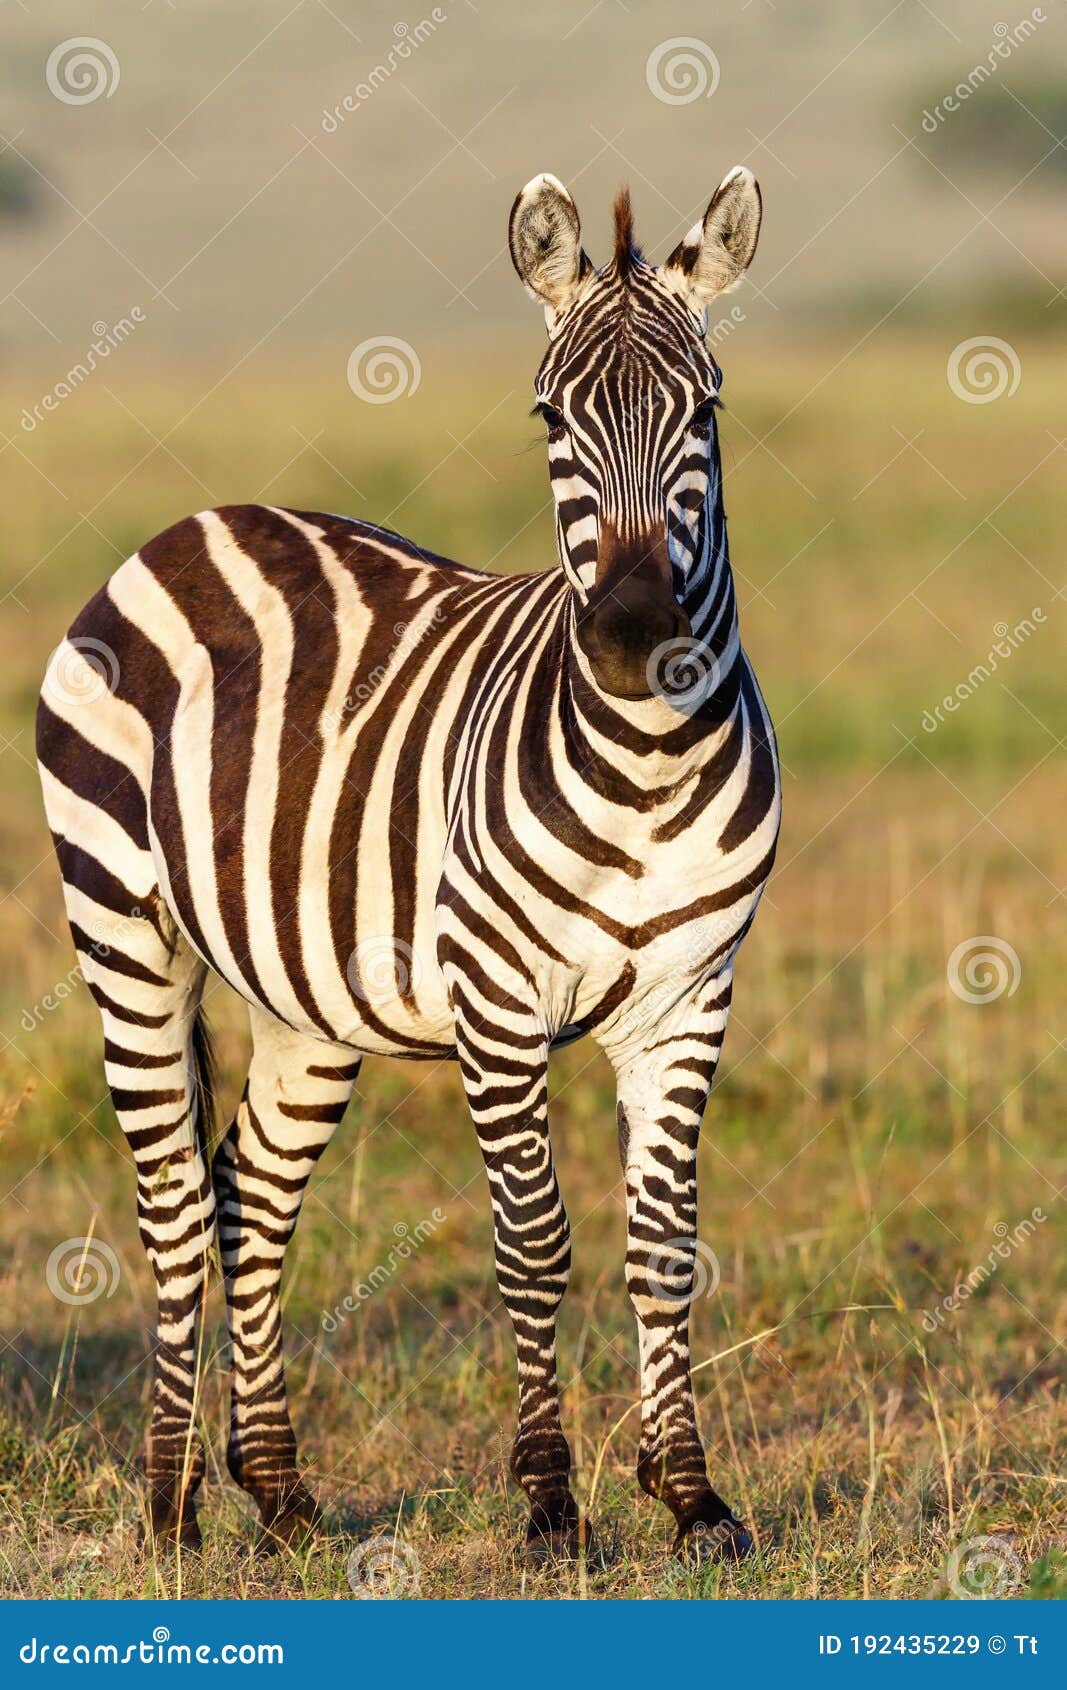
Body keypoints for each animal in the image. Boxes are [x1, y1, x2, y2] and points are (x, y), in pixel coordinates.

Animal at [36, 165, 780, 1565]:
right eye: (549, 416)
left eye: (703, 409)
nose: (634, 634)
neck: (647, 763)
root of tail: (199, 522)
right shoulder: (496, 998)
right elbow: (534, 1242)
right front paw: (549, 1504)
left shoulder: (689, 999)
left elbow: (664, 1245)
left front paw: (691, 1496)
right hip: (123, 929)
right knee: (172, 1197)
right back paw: (169, 1504)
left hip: (307, 997)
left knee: (250, 1193)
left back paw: (276, 1491)